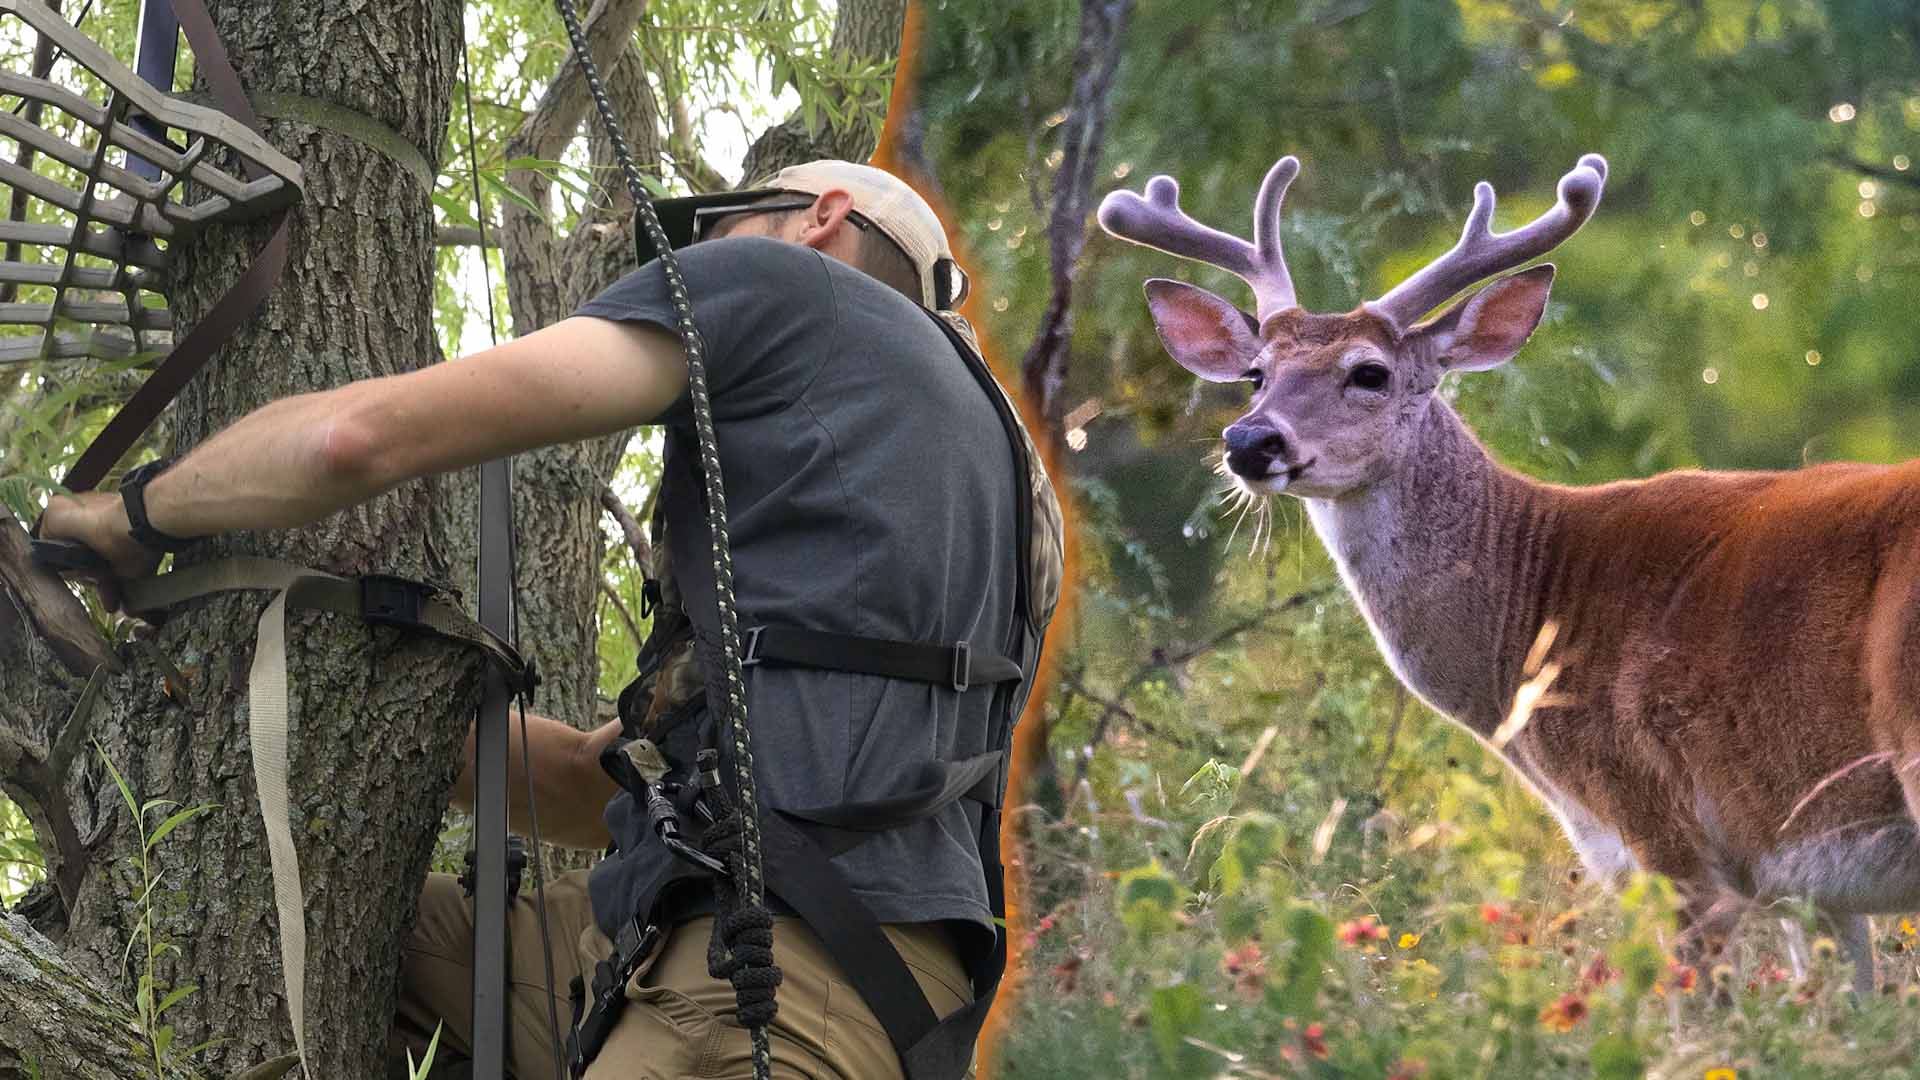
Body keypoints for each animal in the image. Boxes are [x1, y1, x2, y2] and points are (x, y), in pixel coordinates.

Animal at [1097, 152, 1920, 995]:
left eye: (1369, 372)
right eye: (1254, 374)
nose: (1249, 442)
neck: (1540, 604)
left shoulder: (1662, 827)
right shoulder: (1806, 883)